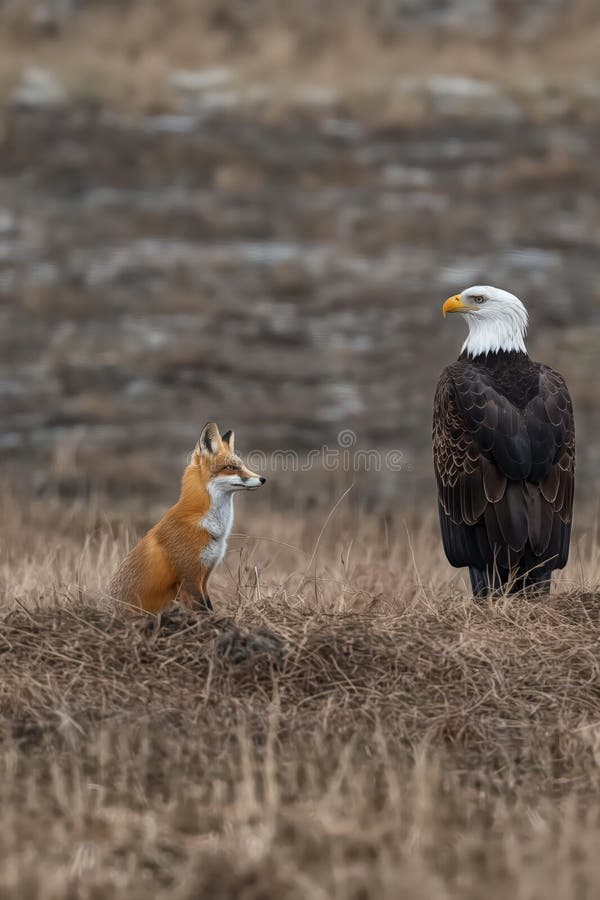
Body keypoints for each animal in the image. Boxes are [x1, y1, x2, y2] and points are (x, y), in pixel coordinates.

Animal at [109, 423, 266, 614]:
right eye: (231, 467)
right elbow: (204, 610)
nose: (263, 479)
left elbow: (209, 606)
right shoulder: (190, 578)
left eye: (241, 465)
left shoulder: (205, 575)